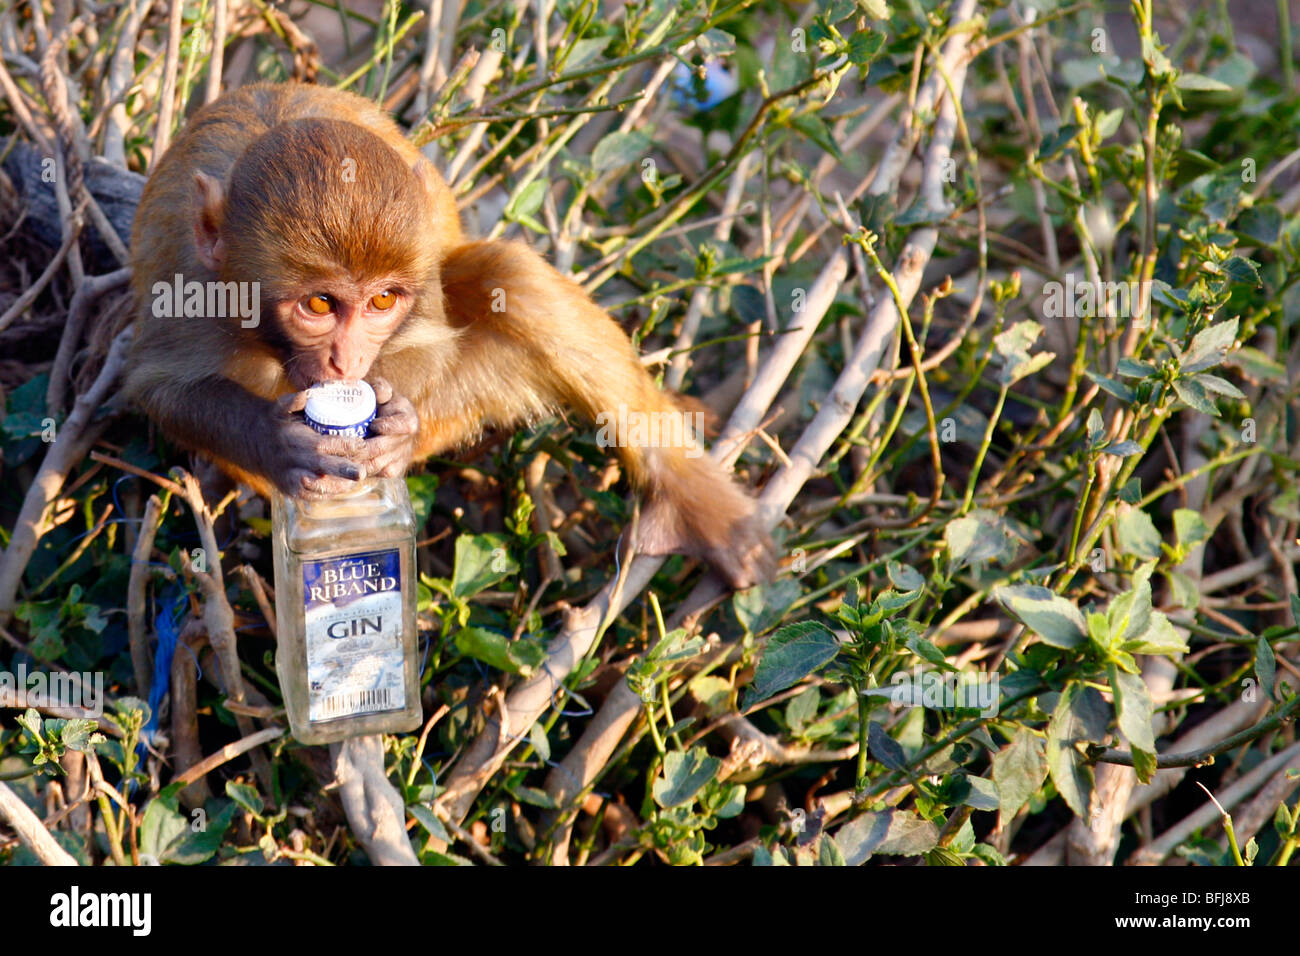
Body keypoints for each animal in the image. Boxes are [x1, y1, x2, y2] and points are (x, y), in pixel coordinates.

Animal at [124, 82, 771, 589]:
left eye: (382, 301)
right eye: (319, 304)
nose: (347, 361)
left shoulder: (417, 262)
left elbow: (427, 350)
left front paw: (395, 427)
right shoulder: (187, 274)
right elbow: (161, 389)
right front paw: (277, 441)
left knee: (510, 279)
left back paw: (689, 502)